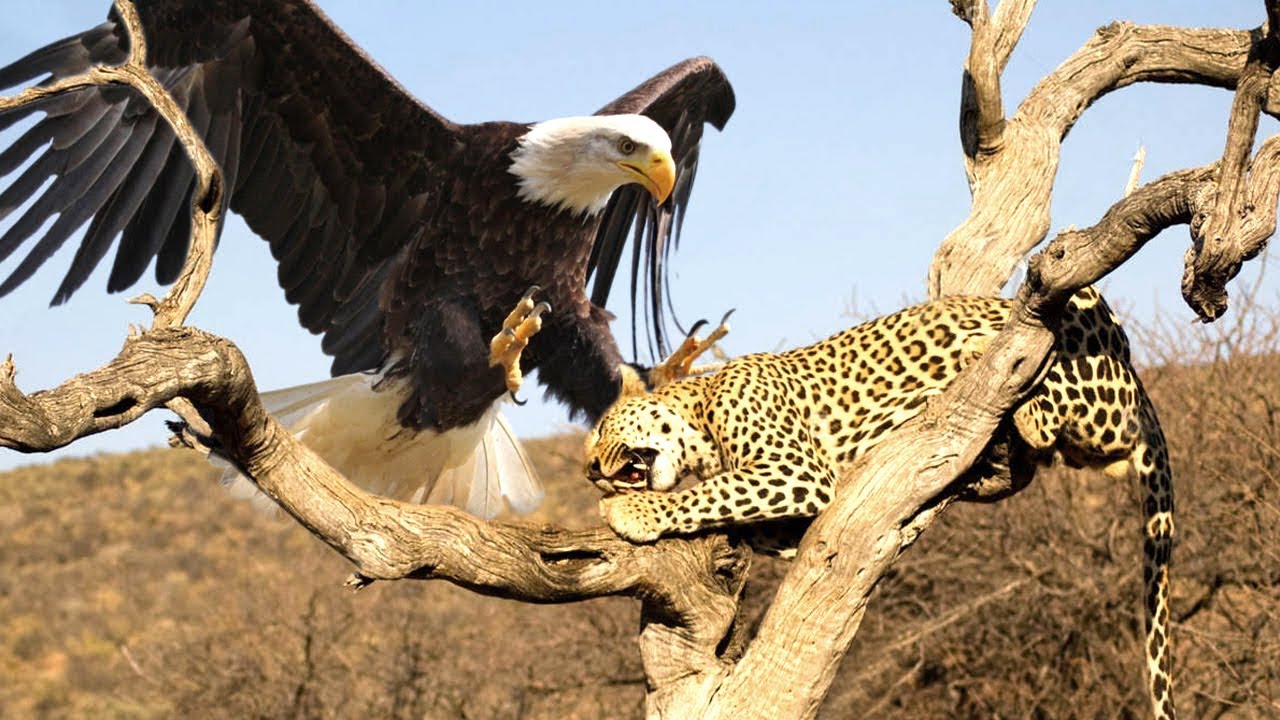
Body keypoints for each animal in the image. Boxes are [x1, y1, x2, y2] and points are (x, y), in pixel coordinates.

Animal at [584, 287, 1176, 720]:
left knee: (1067, 413)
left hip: (1089, 340)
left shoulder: (796, 470)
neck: (702, 414)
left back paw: (986, 358)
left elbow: (714, 492)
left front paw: (631, 514)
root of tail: (1132, 365)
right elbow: (753, 521)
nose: (590, 470)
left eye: (600, 432)